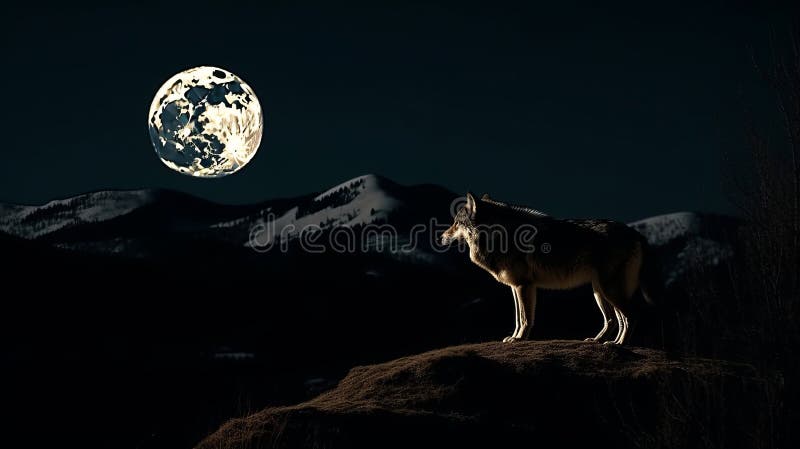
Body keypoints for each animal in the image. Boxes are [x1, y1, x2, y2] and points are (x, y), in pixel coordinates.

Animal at [441, 193, 660, 345]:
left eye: (455, 223)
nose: (441, 237)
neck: (500, 236)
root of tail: (635, 233)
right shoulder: (515, 287)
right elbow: (518, 317)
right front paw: (514, 337)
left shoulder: (524, 286)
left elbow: (525, 318)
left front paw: (520, 339)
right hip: (599, 291)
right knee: (614, 320)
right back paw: (602, 341)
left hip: (609, 290)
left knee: (631, 315)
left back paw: (619, 344)